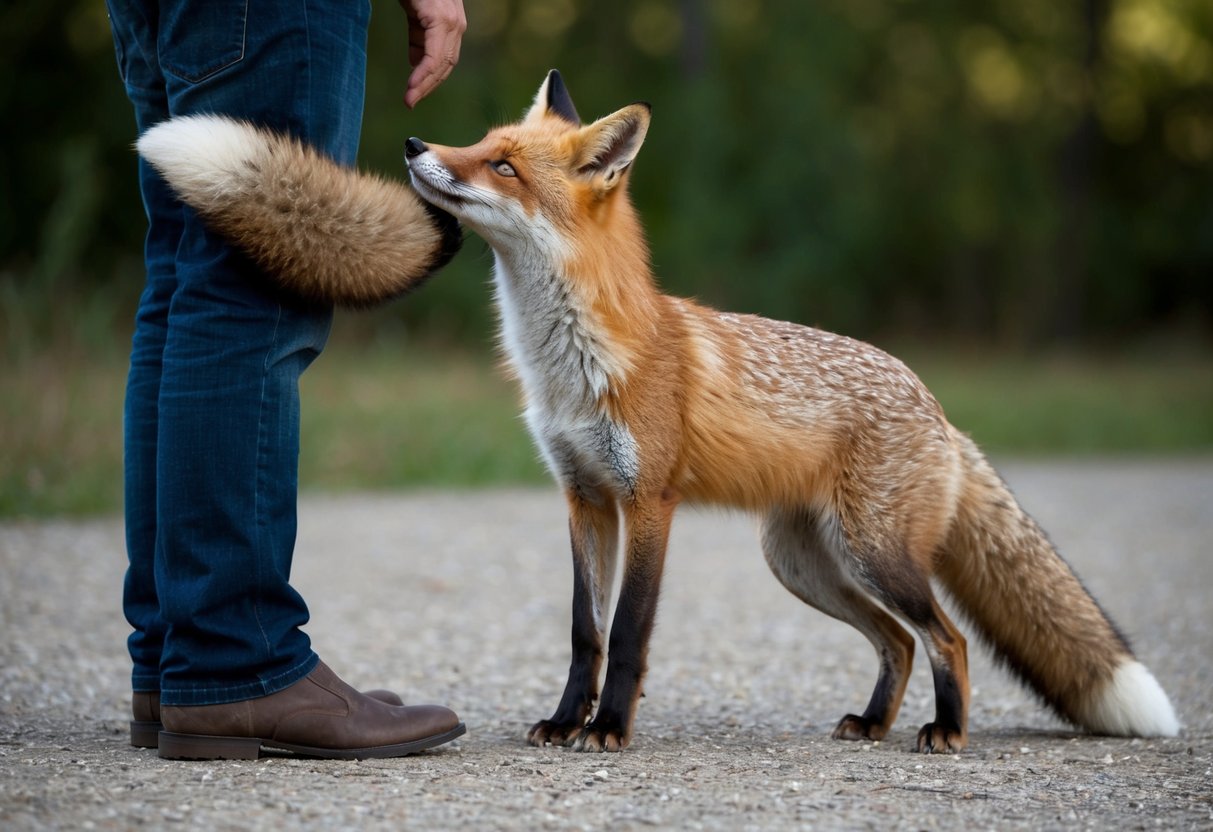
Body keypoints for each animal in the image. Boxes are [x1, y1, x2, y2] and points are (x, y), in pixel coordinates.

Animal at [137, 71, 1180, 753]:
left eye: (503, 165)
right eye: (478, 145)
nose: (415, 147)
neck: (568, 364)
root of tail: (934, 403)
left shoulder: (648, 504)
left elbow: (631, 634)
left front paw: (607, 731)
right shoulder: (580, 498)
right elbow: (584, 632)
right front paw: (565, 722)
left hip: (874, 554)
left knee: (948, 637)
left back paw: (942, 732)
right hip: (807, 565)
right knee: (896, 640)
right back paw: (873, 723)